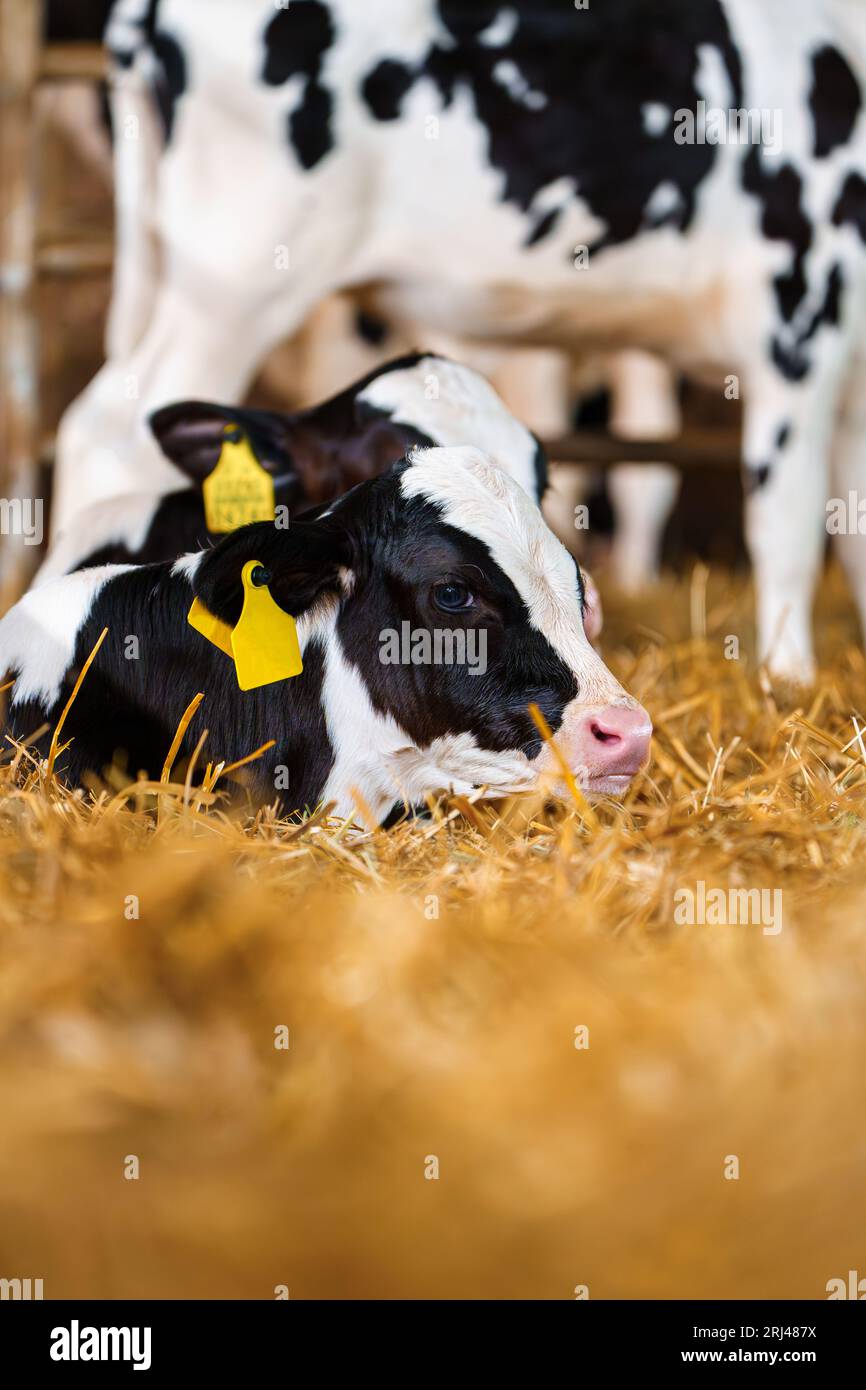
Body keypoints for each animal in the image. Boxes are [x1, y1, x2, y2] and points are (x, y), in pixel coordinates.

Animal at [51, 0, 866, 682]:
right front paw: (789, 681)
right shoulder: (799, 315)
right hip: (233, 281)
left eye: (541, 478)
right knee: (109, 432)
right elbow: (788, 521)